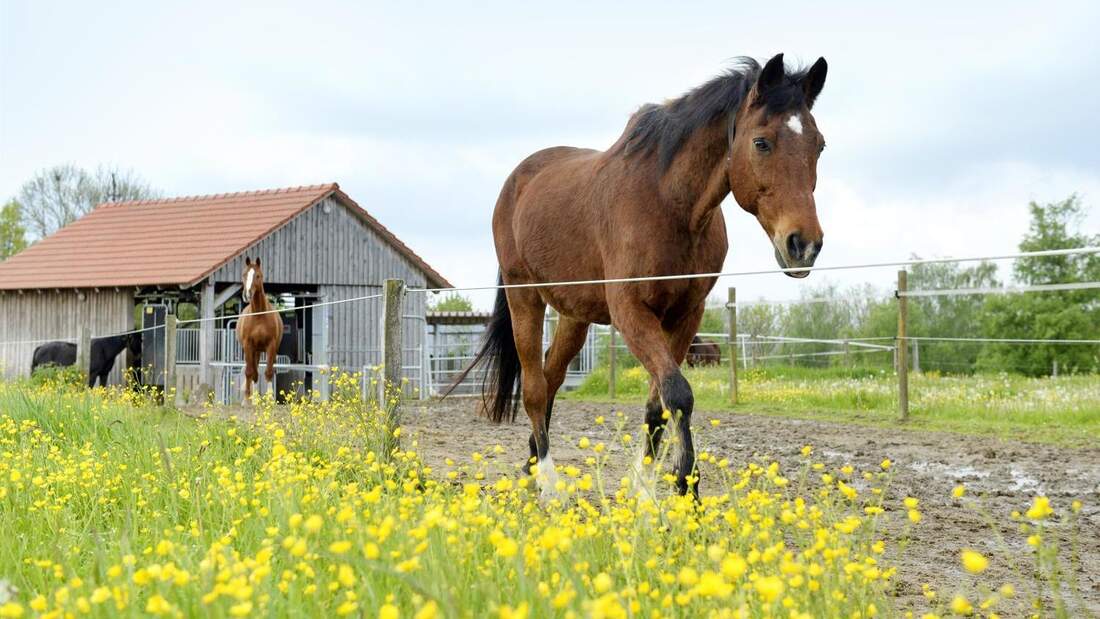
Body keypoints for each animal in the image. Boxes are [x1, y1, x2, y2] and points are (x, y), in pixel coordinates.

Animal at [236, 257, 283, 403]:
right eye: (244, 275)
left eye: (258, 276)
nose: (247, 295)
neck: (258, 315)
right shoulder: (248, 345)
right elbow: (250, 372)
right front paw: (248, 399)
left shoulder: (271, 346)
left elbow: (268, 371)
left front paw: (269, 399)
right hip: (253, 350)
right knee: (253, 371)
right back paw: (253, 398)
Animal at [453, 54, 828, 499]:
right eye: (761, 142)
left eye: (819, 145)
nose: (804, 244)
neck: (668, 204)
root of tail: (517, 180)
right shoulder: (632, 311)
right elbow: (679, 394)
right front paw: (686, 489)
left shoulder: (686, 315)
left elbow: (658, 404)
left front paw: (646, 493)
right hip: (523, 295)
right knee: (533, 389)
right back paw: (549, 484)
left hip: (574, 316)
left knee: (551, 379)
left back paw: (530, 470)